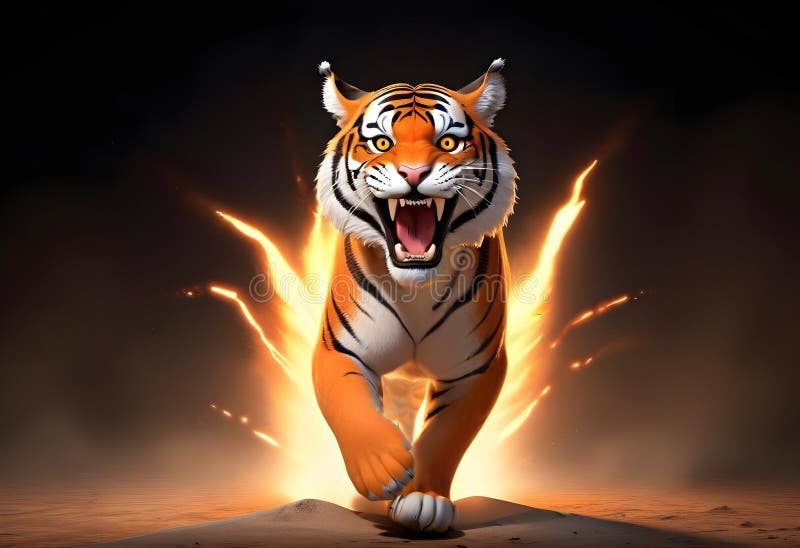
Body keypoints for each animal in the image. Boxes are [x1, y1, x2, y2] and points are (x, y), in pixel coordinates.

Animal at [312, 59, 516, 533]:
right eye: (382, 142)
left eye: (448, 142)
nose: (413, 175)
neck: (416, 287)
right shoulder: (340, 348)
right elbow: (347, 402)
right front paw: (382, 467)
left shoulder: (477, 366)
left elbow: (445, 435)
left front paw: (422, 498)